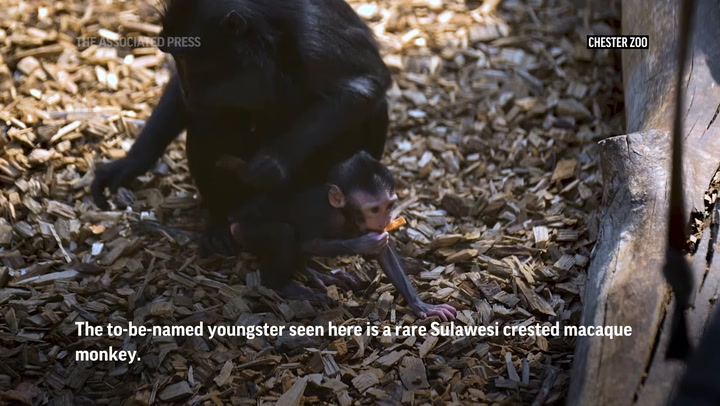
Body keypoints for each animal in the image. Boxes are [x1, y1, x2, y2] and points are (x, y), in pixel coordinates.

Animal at [90, 0, 392, 258]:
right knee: (208, 118)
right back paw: (221, 221)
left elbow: (365, 84)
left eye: (187, 57)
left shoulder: (313, 38)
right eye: (175, 56)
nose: (188, 87)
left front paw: (271, 164)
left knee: (374, 108)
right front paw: (131, 163)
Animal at [227, 150, 458, 321]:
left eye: (389, 206)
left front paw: (421, 306)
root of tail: (235, 220)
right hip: (244, 231)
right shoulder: (321, 213)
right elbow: (308, 243)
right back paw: (285, 285)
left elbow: (386, 256)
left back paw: (313, 273)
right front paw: (365, 244)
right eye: (374, 209)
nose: (383, 220)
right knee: (285, 233)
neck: (346, 214)